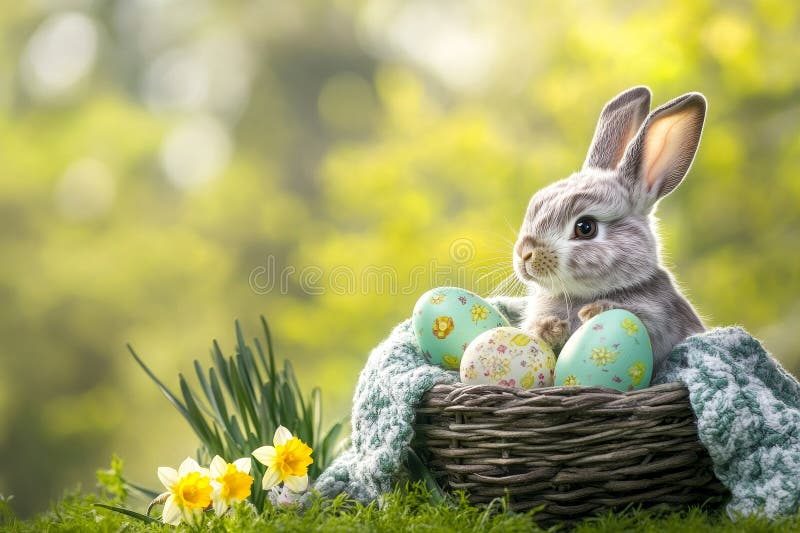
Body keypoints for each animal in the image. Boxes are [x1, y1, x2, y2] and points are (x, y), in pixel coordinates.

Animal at [513, 86, 707, 369]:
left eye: (585, 227)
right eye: (535, 206)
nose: (525, 254)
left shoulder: (657, 319)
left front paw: (593, 312)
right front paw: (549, 327)